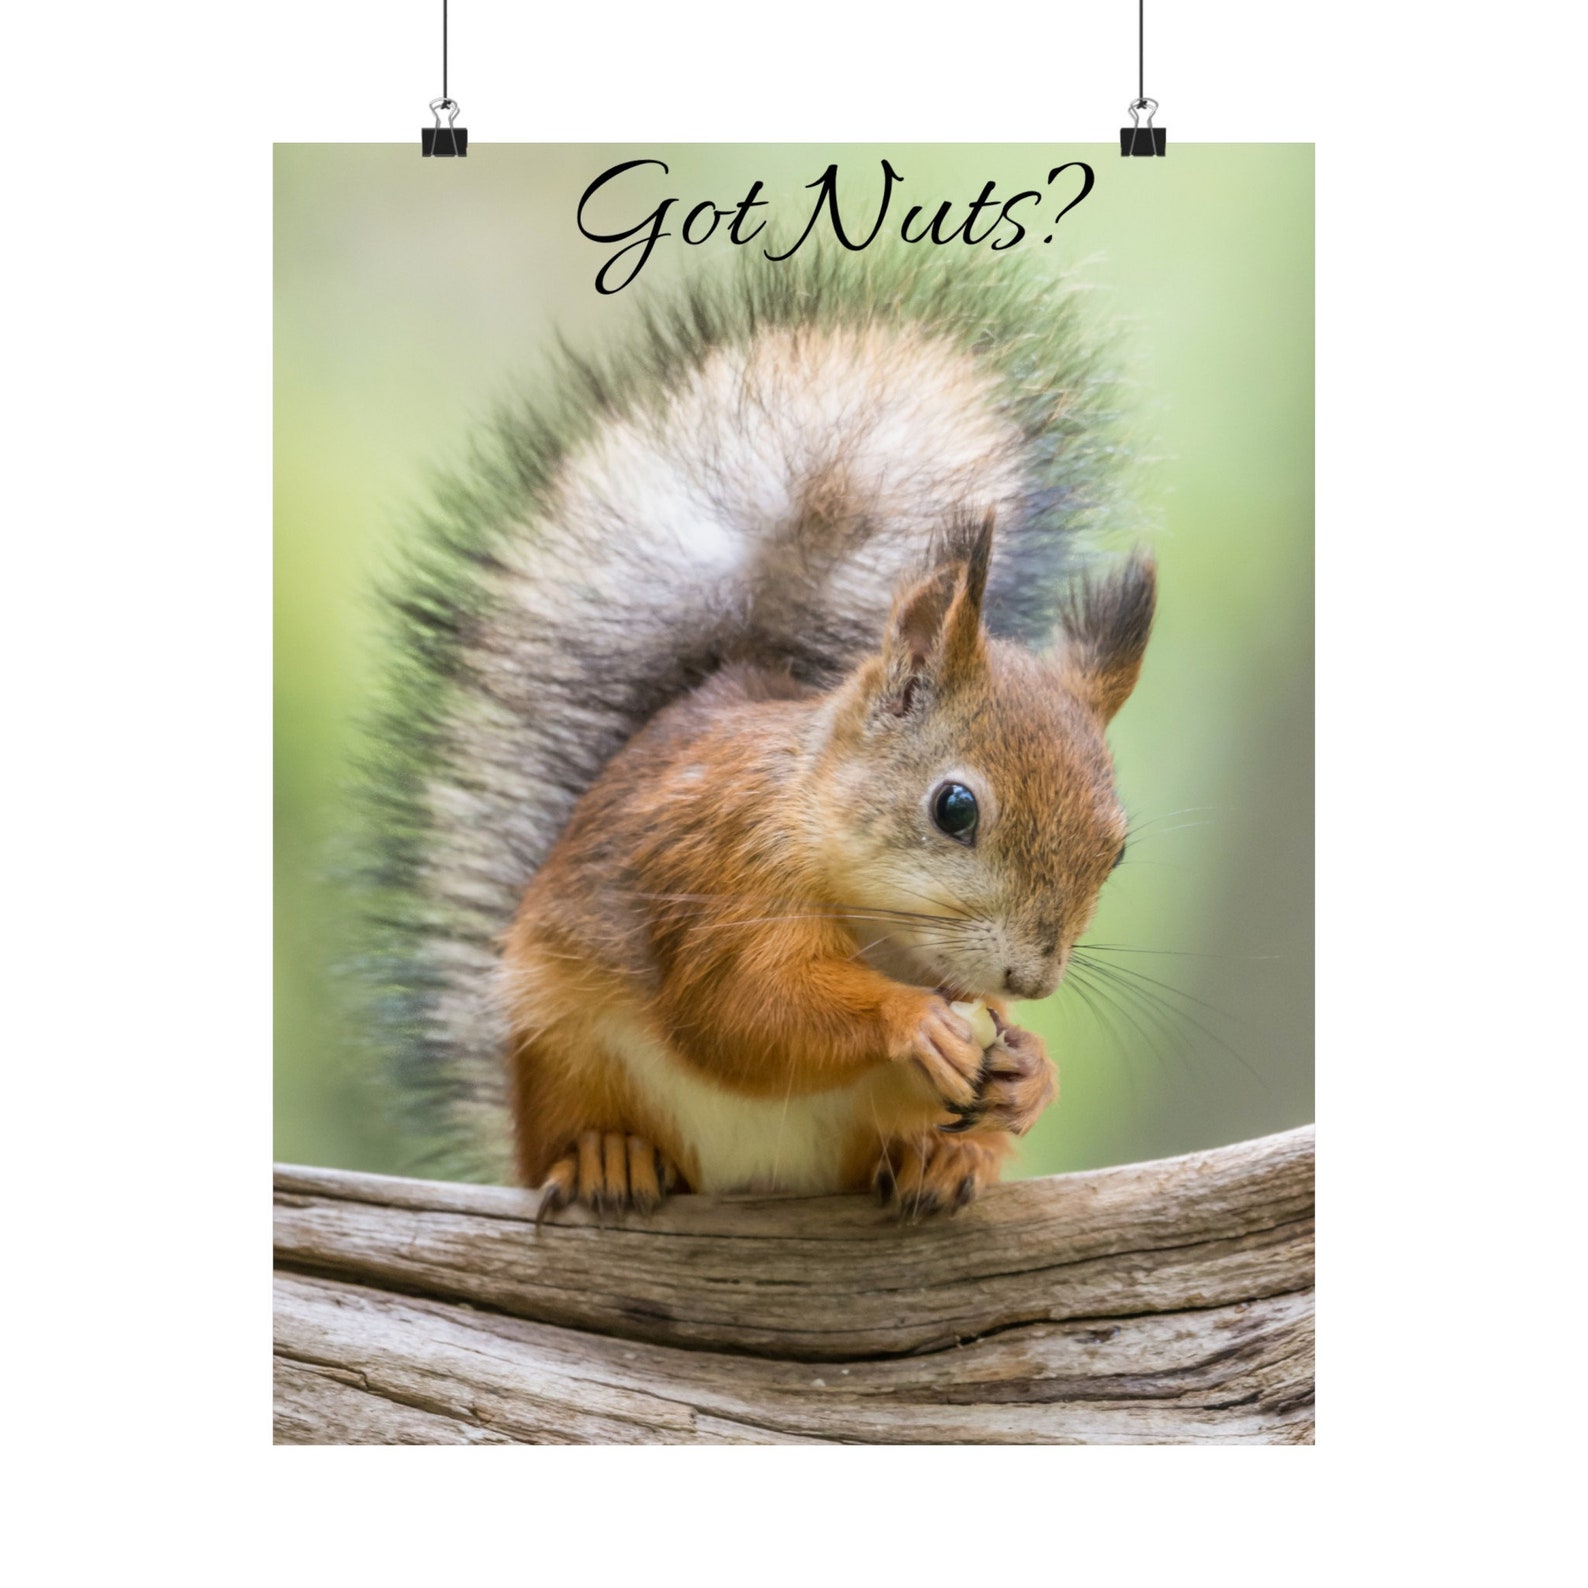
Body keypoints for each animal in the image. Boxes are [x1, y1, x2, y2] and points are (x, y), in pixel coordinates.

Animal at [363, 251, 1155, 1219]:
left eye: (1117, 850)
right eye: (955, 808)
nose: (1033, 980)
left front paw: (1030, 1073)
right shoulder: (717, 872)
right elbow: (739, 1010)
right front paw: (910, 1019)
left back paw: (941, 1157)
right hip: (558, 1049)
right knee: (576, 1130)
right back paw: (608, 1158)